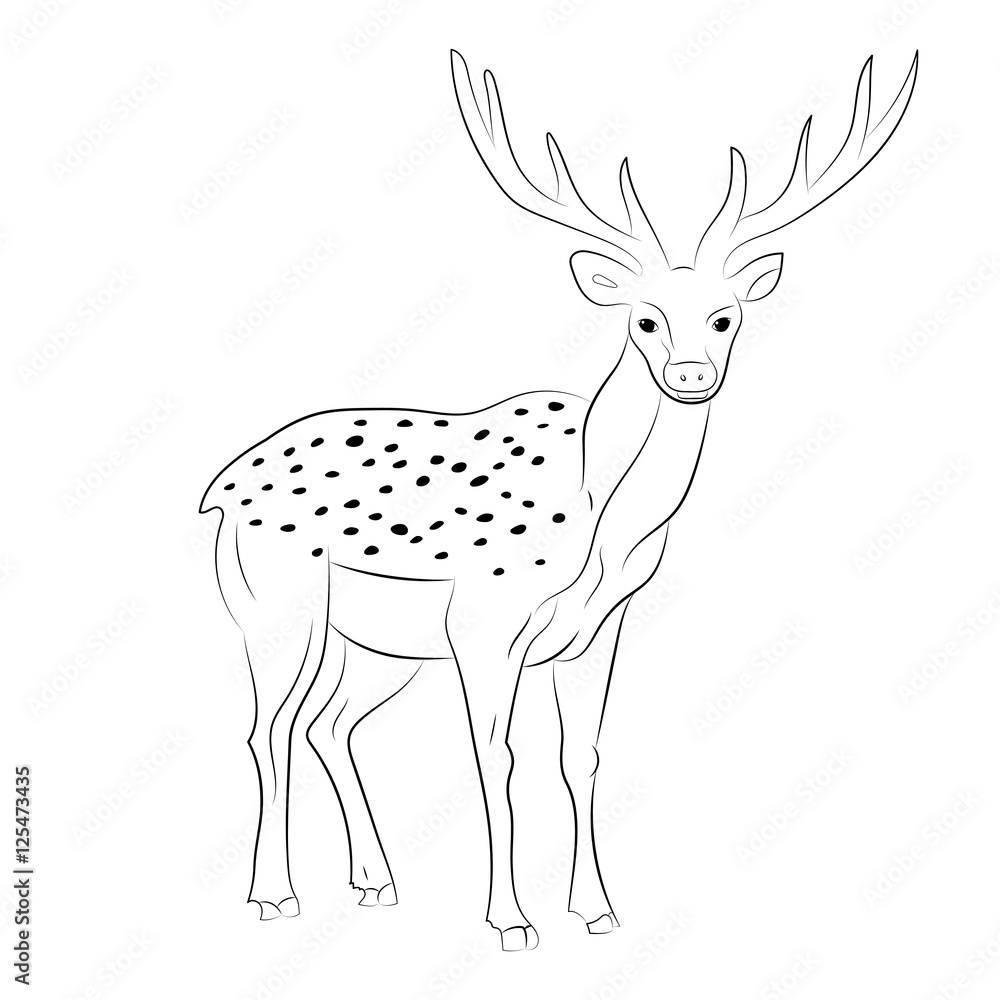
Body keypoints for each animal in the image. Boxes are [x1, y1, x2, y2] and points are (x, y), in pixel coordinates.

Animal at [199, 49, 918, 951]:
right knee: (268, 727)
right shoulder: (484, 622)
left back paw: (376, 883)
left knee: (327, 723)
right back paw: (274, 895)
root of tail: (220, 487)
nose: (691, 376)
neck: (599, 528)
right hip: (274, 604)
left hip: (372, 644)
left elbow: (582, 756)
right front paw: (510, 920)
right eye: (645, 320)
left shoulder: (597, 629)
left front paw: (598, 908)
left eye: (725, 317)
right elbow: (496, 758)